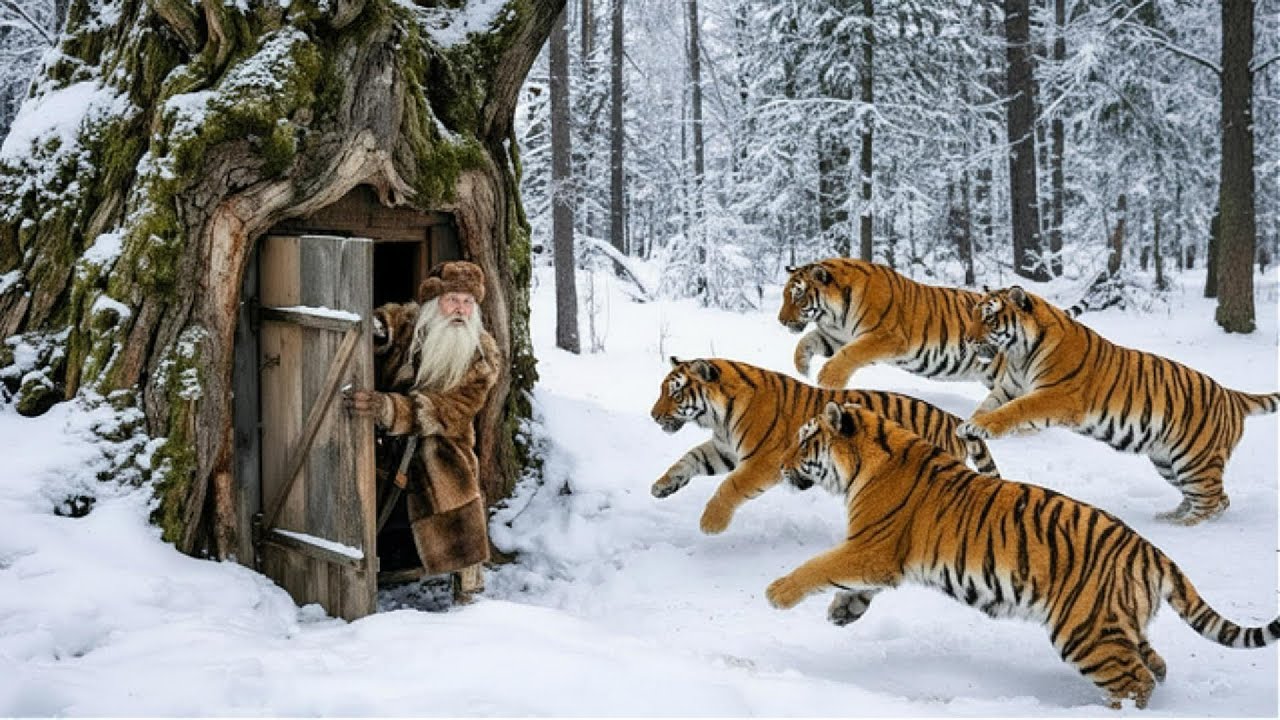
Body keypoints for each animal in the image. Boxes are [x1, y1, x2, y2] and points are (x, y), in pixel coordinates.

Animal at [649, 357, 998, 535]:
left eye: (675, 393)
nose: (653, 415)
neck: (719, 418)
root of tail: (953, 419)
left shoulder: (762, 460)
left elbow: (730, 487)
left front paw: (711, 523)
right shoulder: (723, 450)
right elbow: (688, 460)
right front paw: (662, 486)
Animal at [769, 401, 1280, 709]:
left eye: (805, 440)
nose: (780, 465)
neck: (864, 464)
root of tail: (1150, 551)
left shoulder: (871, 547)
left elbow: (820, 566)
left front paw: (777, 593)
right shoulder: (880, 557)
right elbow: (852, 586)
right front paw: (842, 612)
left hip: (1084, 630)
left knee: (1136, 681)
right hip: (1118, 622)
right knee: (1155, 664)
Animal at [778, 259, 1005, 390]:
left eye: (798, 296)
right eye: (785, 296)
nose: (781, 320)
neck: (836, 316)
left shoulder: (885, 337)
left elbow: (850, 354)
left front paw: (828, 381)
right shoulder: (837, 338)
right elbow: (806, 342)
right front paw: (802, 369)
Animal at [957, 284, 1280, 525]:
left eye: (989, 318)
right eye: (972, 315)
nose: (968, 339)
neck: (1019, 355)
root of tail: (1231, 394)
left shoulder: (1053, 395)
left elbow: (1015, 411)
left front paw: (982, 426)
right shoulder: (1010, 387)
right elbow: (989, 405)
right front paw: (969, 425)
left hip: (1195, 460)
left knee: (1213, 500)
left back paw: (1184, 525)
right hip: (1167, 460)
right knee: (1213, 498)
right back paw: (1170, 516)